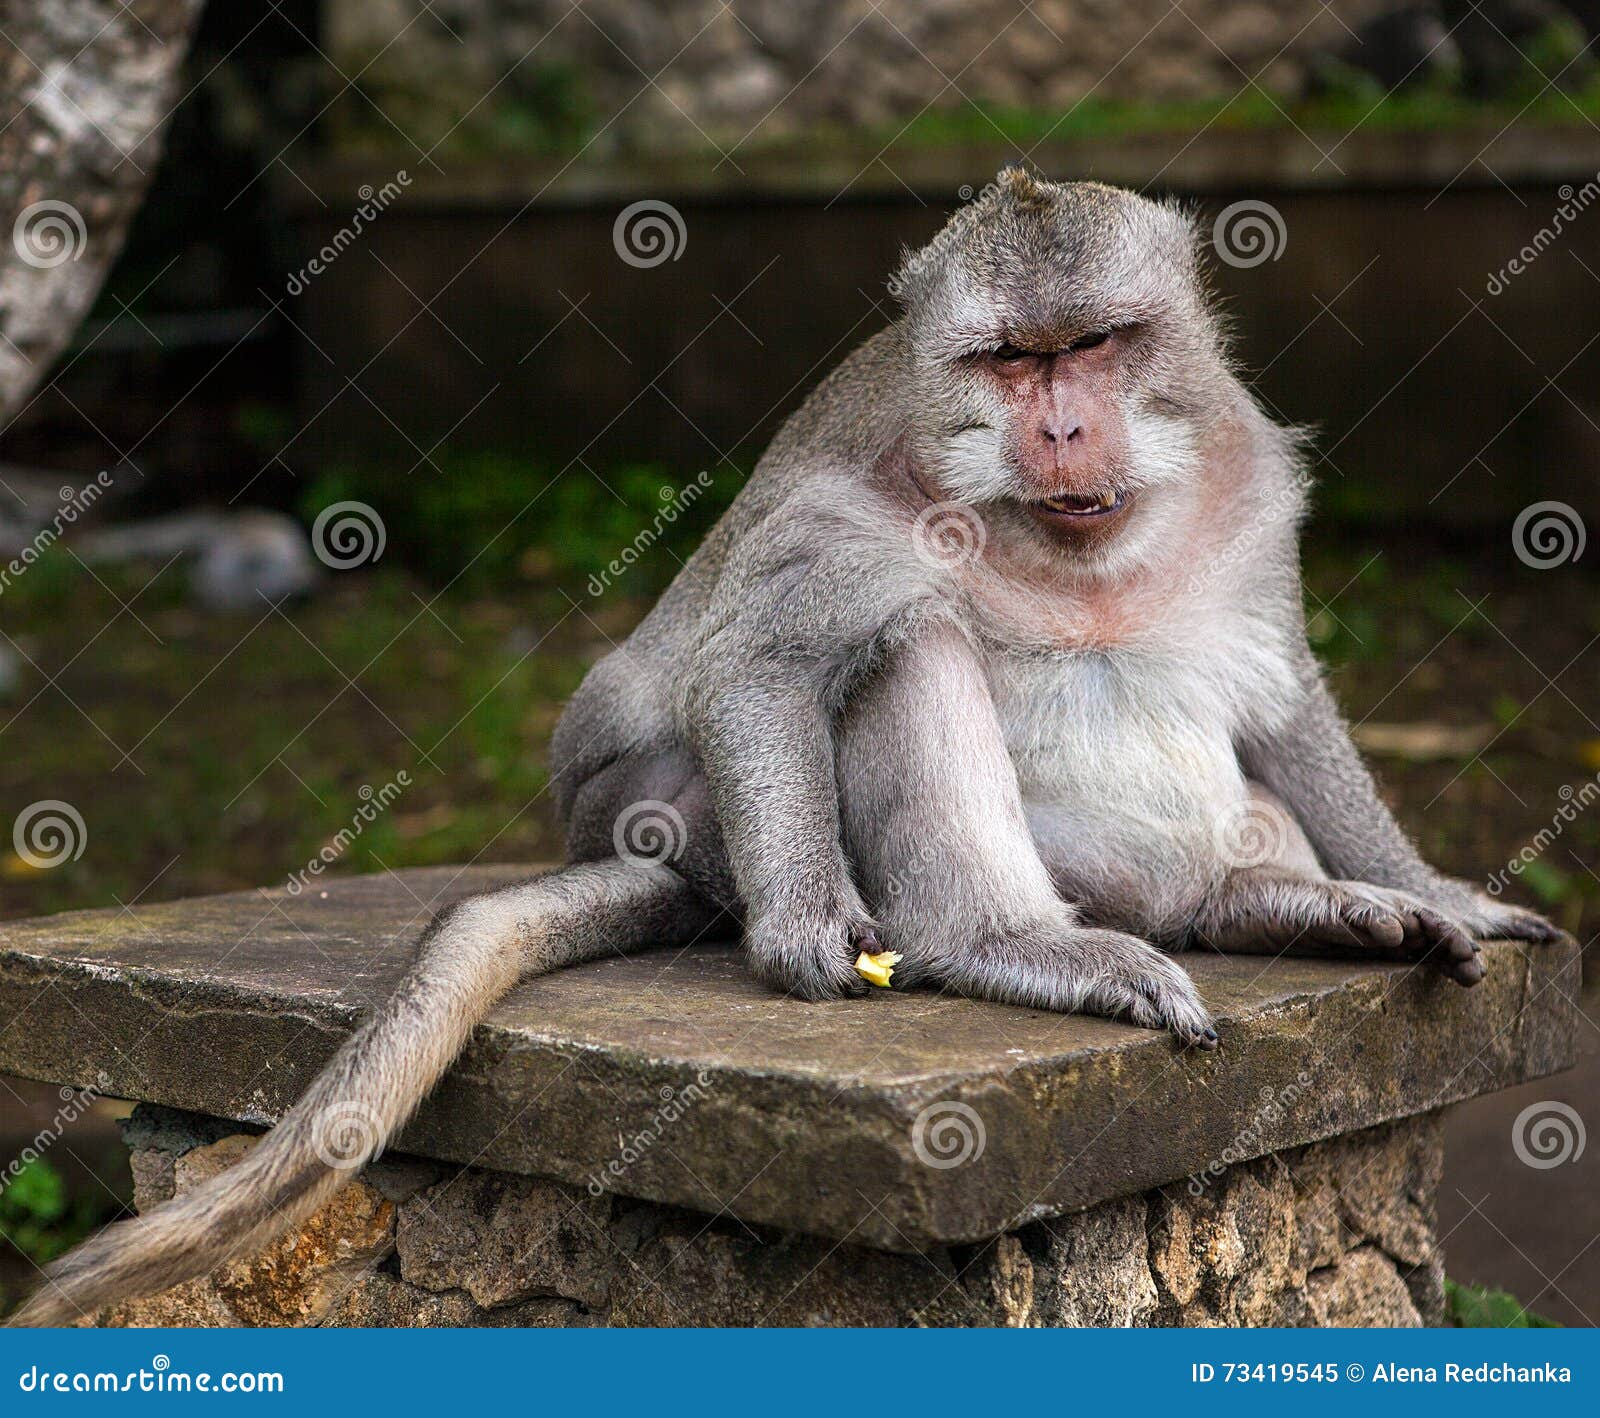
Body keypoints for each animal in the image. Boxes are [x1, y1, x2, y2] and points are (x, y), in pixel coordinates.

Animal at [10, 169, 1560, 1327]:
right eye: (1010, 360)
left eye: (1094, 344)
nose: (1062, 422)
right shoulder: (856, 498)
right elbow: (763, 664)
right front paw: (810, 921)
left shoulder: (1243, 466)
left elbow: (1283, 695)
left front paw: (1435, 884)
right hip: (703, 805)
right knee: (904, 641)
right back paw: (1011, 939)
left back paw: (1273, 902)